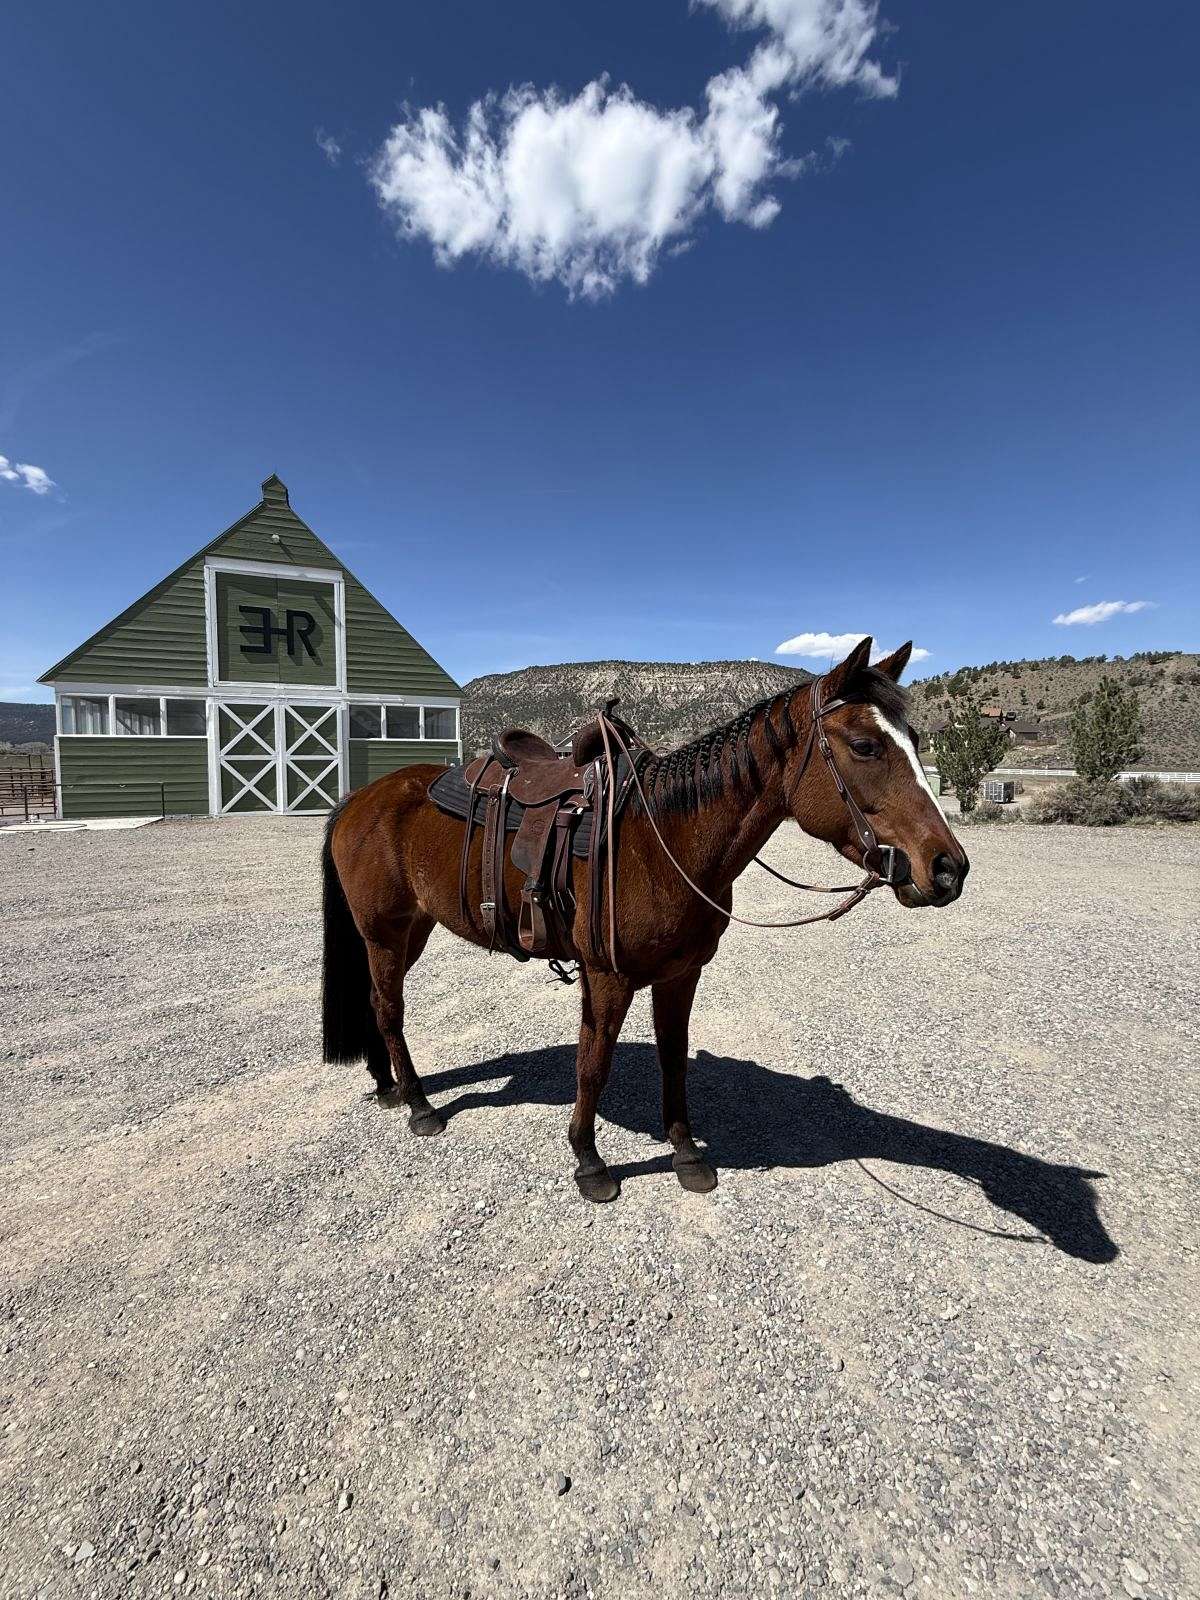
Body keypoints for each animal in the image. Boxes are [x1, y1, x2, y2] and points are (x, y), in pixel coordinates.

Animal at [321, 637, 969, 1202]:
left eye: (915, 740)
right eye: (864, 745)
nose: (948, 868)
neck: (666, 840)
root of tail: (357, 799)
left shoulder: (680, 975)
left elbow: (673, 1057)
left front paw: (685, 1152)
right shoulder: (607, 978)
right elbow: (594, 1064)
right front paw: (589, 1161)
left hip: (413, 928)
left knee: (377, 1002)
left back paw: (389, 1087)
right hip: (385, 930)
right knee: (388, 1007)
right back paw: (420, 1106)